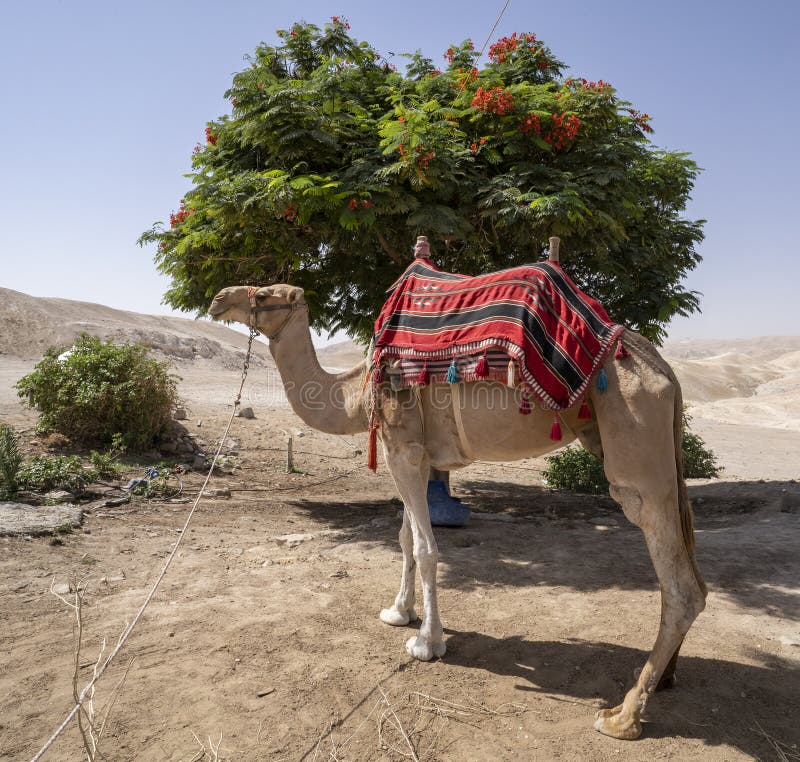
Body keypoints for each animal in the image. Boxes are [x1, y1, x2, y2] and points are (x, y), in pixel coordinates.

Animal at [208, 276, 707, 741]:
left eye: (265, 293)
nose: (218, 298)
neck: (355, 390)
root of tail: (667, 372)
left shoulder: (402, 447)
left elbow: (427, 549)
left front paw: (427, 644)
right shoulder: (414, 453)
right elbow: (405, 539)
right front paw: (398, 612)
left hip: (635, 440)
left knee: (681, 584)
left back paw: (623, 716)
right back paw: (661, 678)